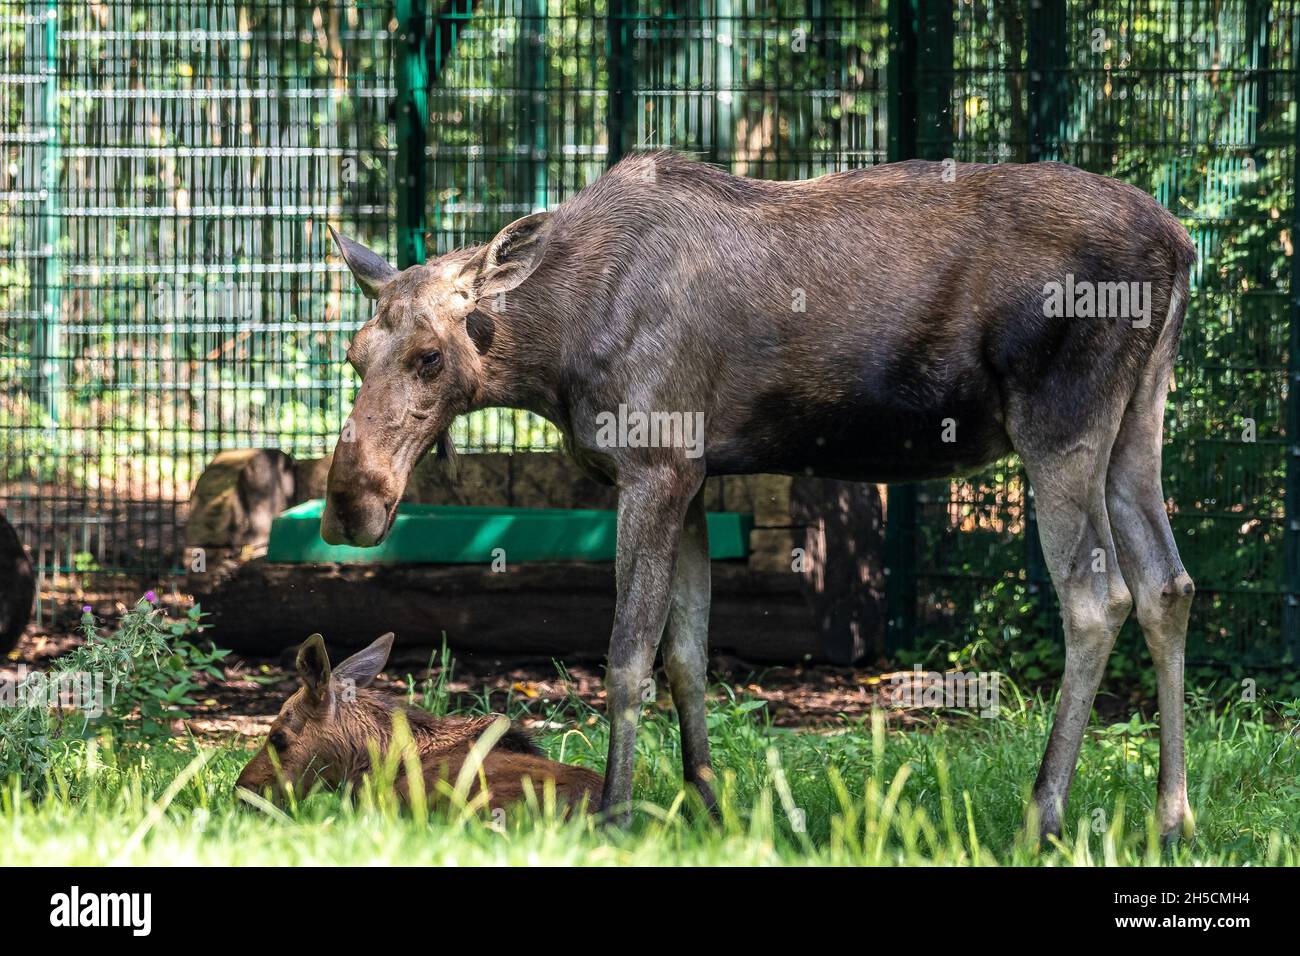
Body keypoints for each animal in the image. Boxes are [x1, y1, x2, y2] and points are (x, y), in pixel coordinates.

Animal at [320, 151, 1196, 839]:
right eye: (354, 353)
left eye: (431, 357)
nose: (349, 506)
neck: (551, 356)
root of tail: (1183, 244)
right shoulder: (693, 477)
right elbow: (689, 654)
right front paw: (709, 809)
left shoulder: (653, 464)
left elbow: (627, 656)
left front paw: (616, 815)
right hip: (1138, 420)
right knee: (1167, 585)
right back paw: (1173, 818)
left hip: (1059, 422)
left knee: (1098, 599)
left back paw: (1042, 816)